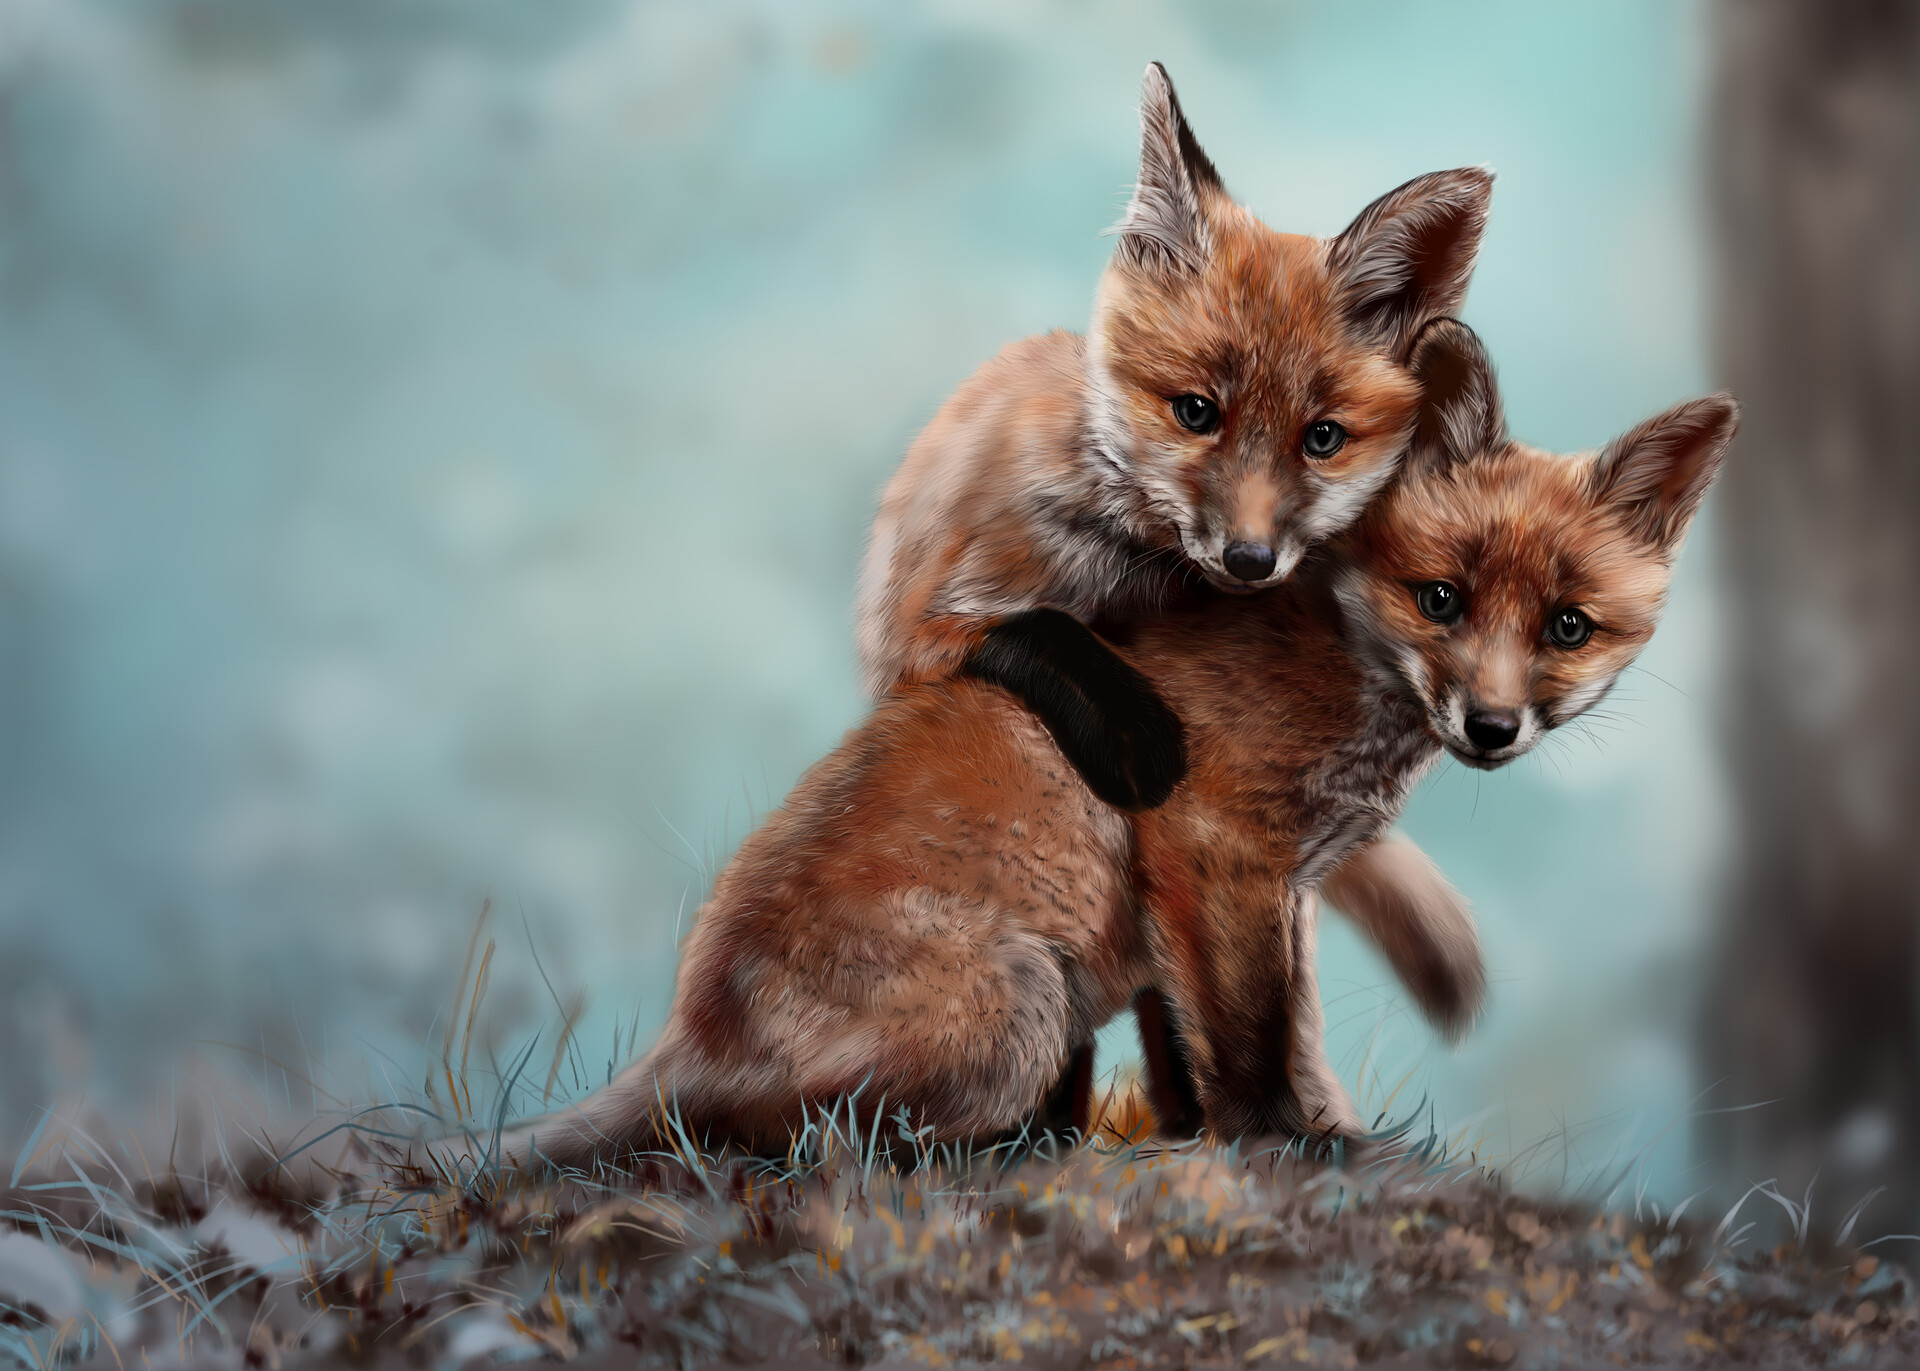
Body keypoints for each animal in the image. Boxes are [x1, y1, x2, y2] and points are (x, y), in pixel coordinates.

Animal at [487, 320, 1736, 1168]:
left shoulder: (1260, 894)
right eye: (1442, 601)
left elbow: (1250, 1036)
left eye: (1567, 627)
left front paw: (1270, 1127)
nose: (1490, 726)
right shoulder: (1212, 852)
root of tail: (693, 1026)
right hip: (1025, 1010)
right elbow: (1253, 1037)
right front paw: (1284, 1143)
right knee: (817, 1143)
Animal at [855, 62, 1495, 1048]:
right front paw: (1139, 733)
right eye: (1196, 412)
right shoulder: (924, 627)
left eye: (1322, 439)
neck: (1136, 570)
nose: (1251, 558)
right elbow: (1043, 634)